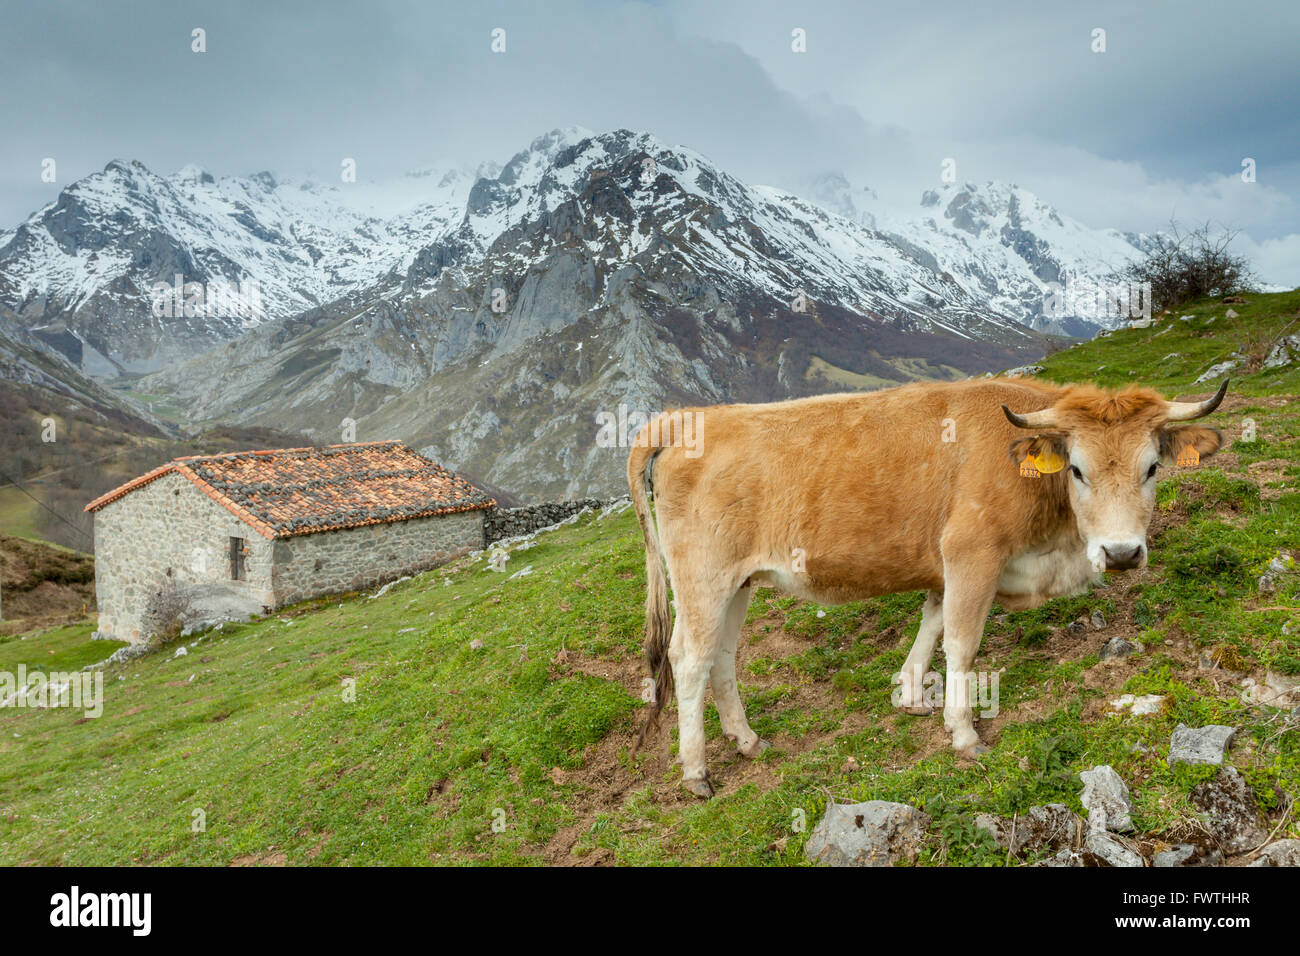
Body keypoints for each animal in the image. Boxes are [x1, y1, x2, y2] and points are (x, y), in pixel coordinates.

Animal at [627, 377, 1227, 797]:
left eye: (1152, 468)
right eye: (1076, 470)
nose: (1122, 553)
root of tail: (684, 420)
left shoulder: (946, 568)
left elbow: (932, 625)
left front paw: (912, 695)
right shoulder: (971, 553)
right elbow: (961, 643)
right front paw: (963, 733)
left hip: (739, 581)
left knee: (722, 657)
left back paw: (748, 741)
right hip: (703, 576)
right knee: (689, 658)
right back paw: (696, 771)